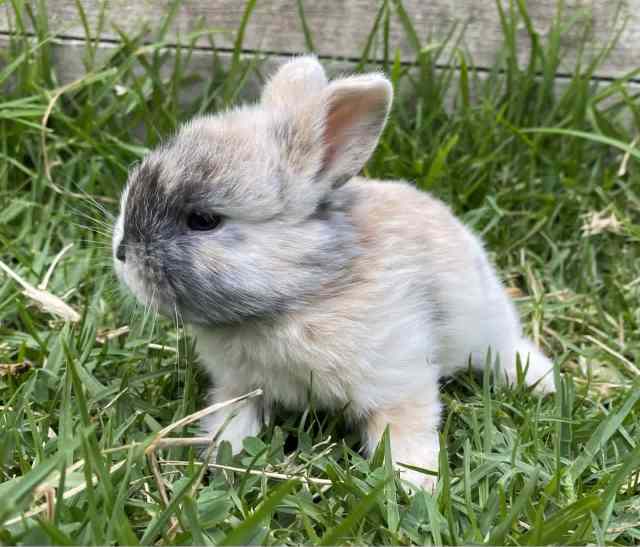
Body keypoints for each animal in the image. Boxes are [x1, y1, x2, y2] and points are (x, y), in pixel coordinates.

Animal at [112, 55, 555, 492]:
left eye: (204, 221)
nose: (121, 253)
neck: (300, 297)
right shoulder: (239, 388)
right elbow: (235, 420)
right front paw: (225, 459)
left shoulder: (398, 378)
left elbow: (405, 427)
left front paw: (419, 483)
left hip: (485, 327)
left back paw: (542, 382)